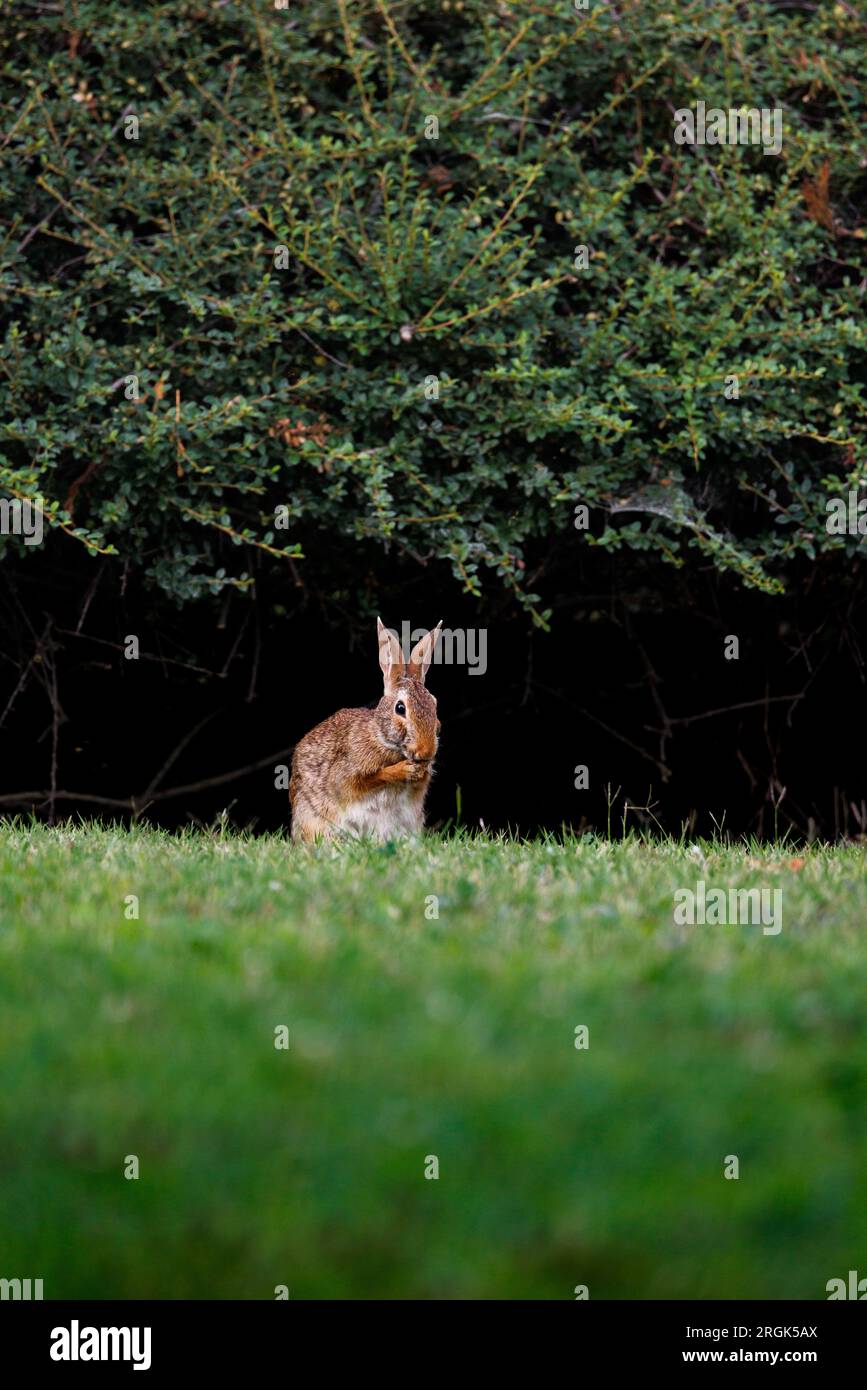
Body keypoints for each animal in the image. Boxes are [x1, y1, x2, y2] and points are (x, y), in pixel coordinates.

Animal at [289, 618, 442, 842]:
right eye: (400, 708)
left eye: (434, 704)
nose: (426, 752)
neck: (382, 738)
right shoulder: (347, 773)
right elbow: (365, 780)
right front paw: (403, 770)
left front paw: (419, 771)